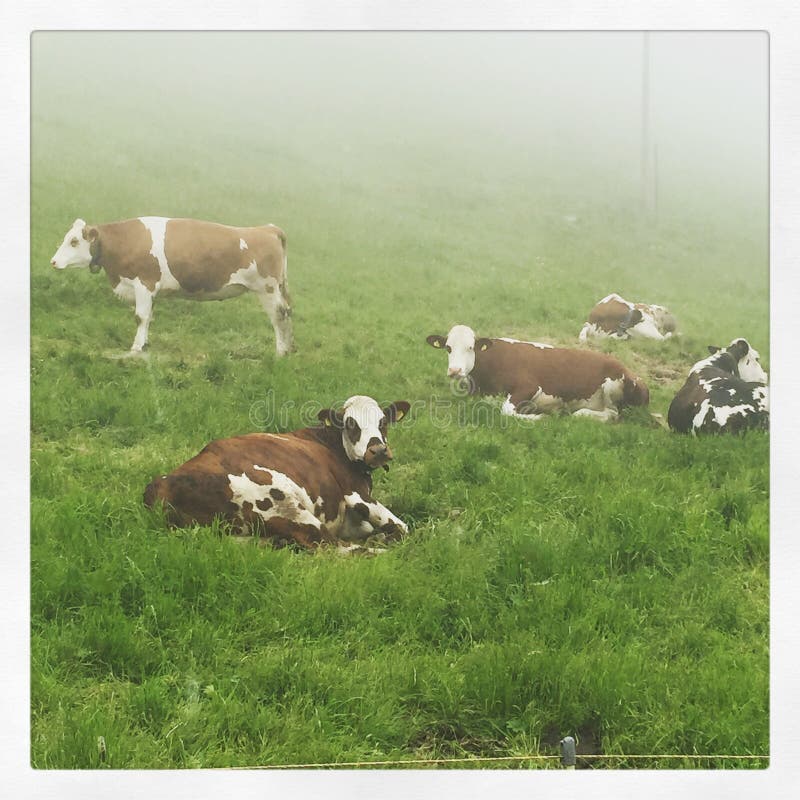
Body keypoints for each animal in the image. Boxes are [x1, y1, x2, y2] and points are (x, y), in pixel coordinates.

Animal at [50, 217, 294, 356]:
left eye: (74, 241)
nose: (53, 261)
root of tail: (268, 229)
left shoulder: (144, 283)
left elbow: (140, 317)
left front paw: (136, 348)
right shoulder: (150, 291)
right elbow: (148, 317)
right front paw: (145, 343)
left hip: (267, 288)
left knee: (279, 316)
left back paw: (281, 352)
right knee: (287, 313)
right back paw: (289, 349)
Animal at [144, 395, 411, 553]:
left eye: (383, 422)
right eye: (350, 424)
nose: (378, 450)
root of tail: (162, 486)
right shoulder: (355, 494)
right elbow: (403, 527)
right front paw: (384, 538)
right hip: (285, 506)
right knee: (336, 547)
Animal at [426, 324, 649, 422]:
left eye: (471, 347)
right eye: (448, 348)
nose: (455, 370)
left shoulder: (531, 386)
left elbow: (506, 410)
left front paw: (538, 416)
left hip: (612, 385)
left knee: (611, 413)